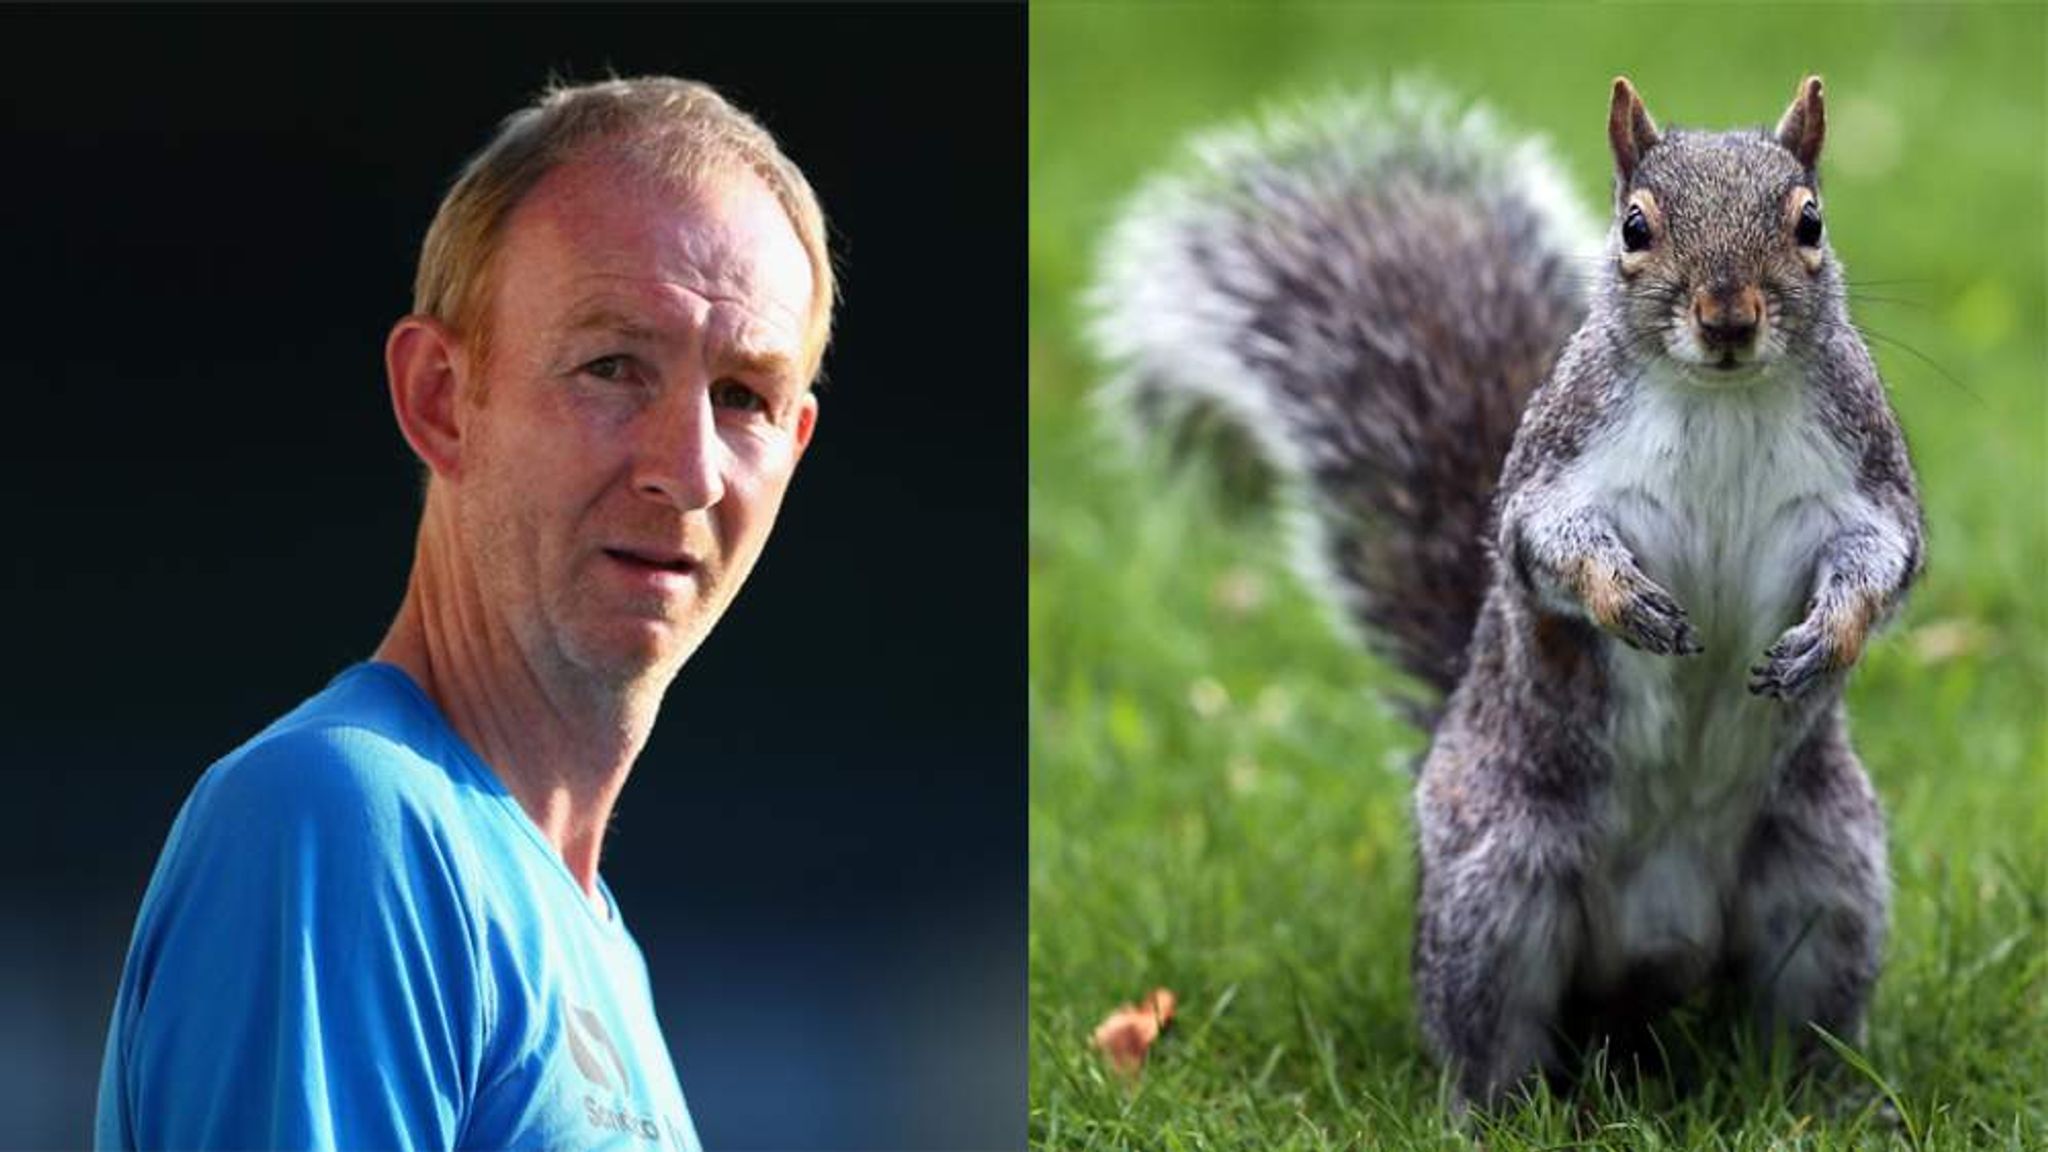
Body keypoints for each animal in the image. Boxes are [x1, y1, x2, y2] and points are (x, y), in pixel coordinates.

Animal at [1089, 76, 1925, 1113]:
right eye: (1635, 227)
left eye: (1810, 221)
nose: (1728, 317)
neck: (1723, 397)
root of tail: (1653, 965)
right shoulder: (1555, 469)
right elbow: (1546, 546)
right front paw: (1626, 601)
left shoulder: (1868, 476)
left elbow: (1882, 559)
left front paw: (1824, 638)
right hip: (1496, 889)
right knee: (1488, 1029)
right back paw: (1494, 1110)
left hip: (1826, 873)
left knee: (1803, 1011)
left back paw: (1828, 1099)